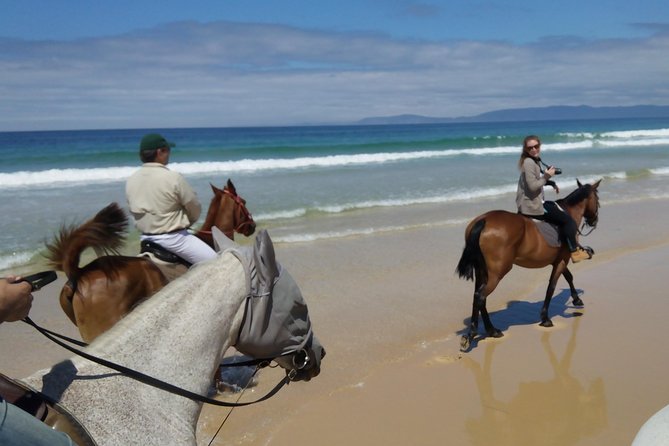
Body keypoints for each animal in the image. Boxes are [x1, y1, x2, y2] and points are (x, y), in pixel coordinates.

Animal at [456, 179, 601, 352]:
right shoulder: (562, 260)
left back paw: (492, 331)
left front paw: (576, 300)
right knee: (480, 296)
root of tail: (483, 220)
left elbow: (568, 277)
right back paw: (472, 334)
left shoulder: (559, 259)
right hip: (498, 272)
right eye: (597, 200)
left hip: (481, 270)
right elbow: (552, 286)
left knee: (479, 297)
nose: (594, 221)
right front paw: (545, 318)